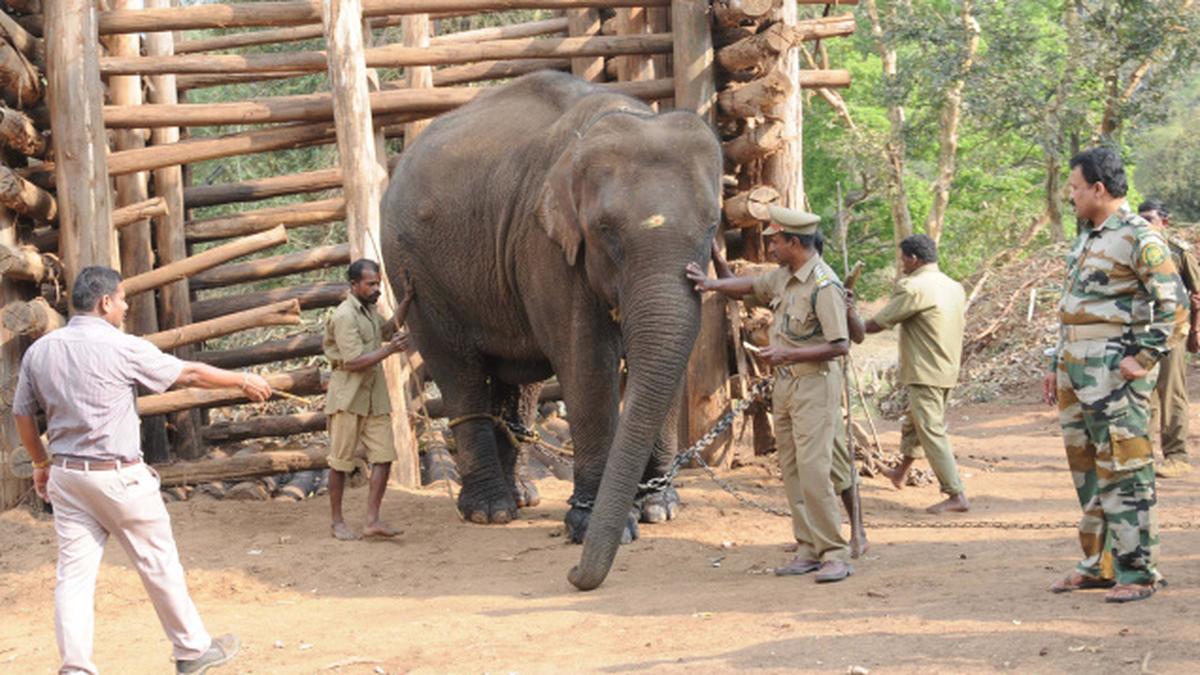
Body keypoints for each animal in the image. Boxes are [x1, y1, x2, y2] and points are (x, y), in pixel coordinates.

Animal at [381, 71, 722, 591]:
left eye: (712, 226)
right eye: (606, 230)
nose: (574, 576)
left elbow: (672, 360)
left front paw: (659, 510)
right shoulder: (546, 245)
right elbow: (586, 364)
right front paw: (593, 525)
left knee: (516, 380)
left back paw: (523, 497)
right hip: (413, 272)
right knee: (458, 370)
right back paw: (490, 512)